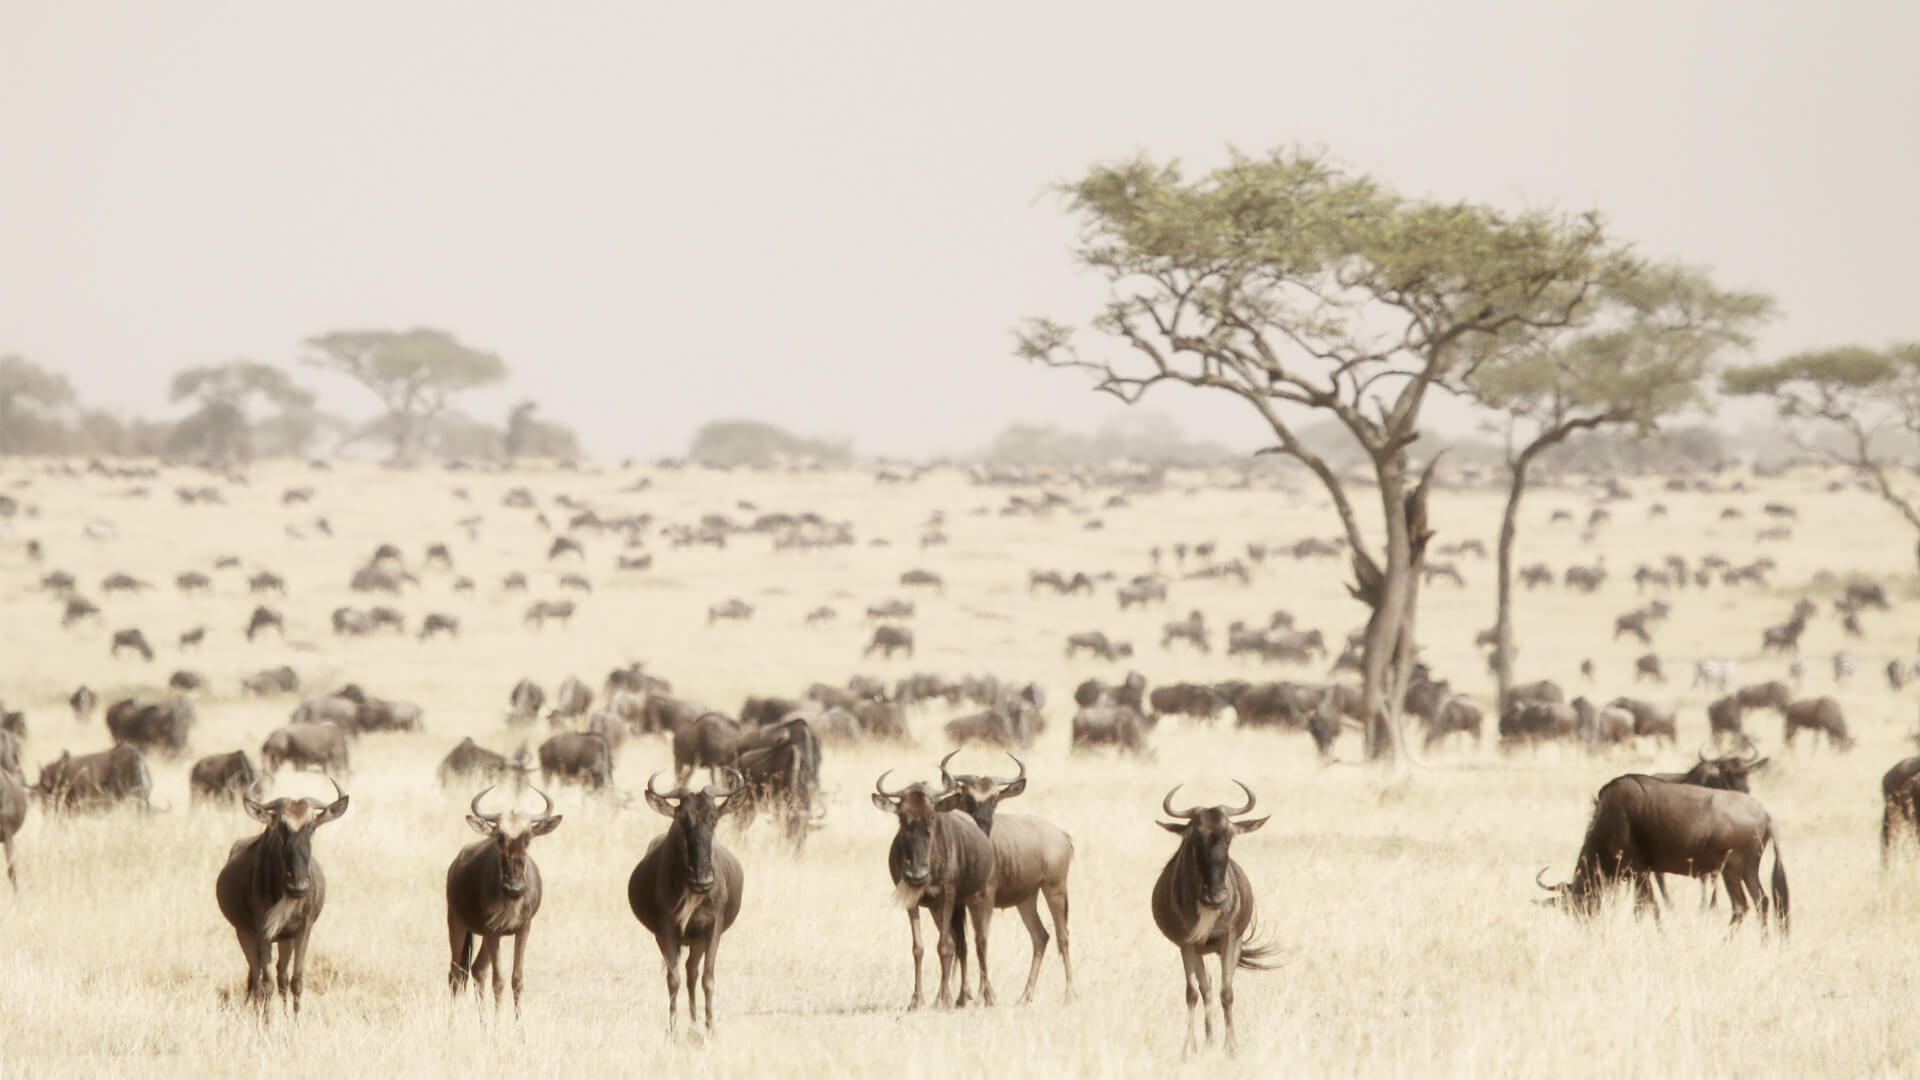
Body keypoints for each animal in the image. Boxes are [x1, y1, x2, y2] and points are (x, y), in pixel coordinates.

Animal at [446, 786, 561, 1013]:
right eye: (500, 838)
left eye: (527, 839)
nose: (514, 888)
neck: (512, 901)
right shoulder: (493, 931)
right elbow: (498, 981)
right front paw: (497, 1023)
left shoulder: (523, 929)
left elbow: (517, 980)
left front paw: (518, 1024)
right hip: (457, 923)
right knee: (455, 974)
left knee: (477, 969)